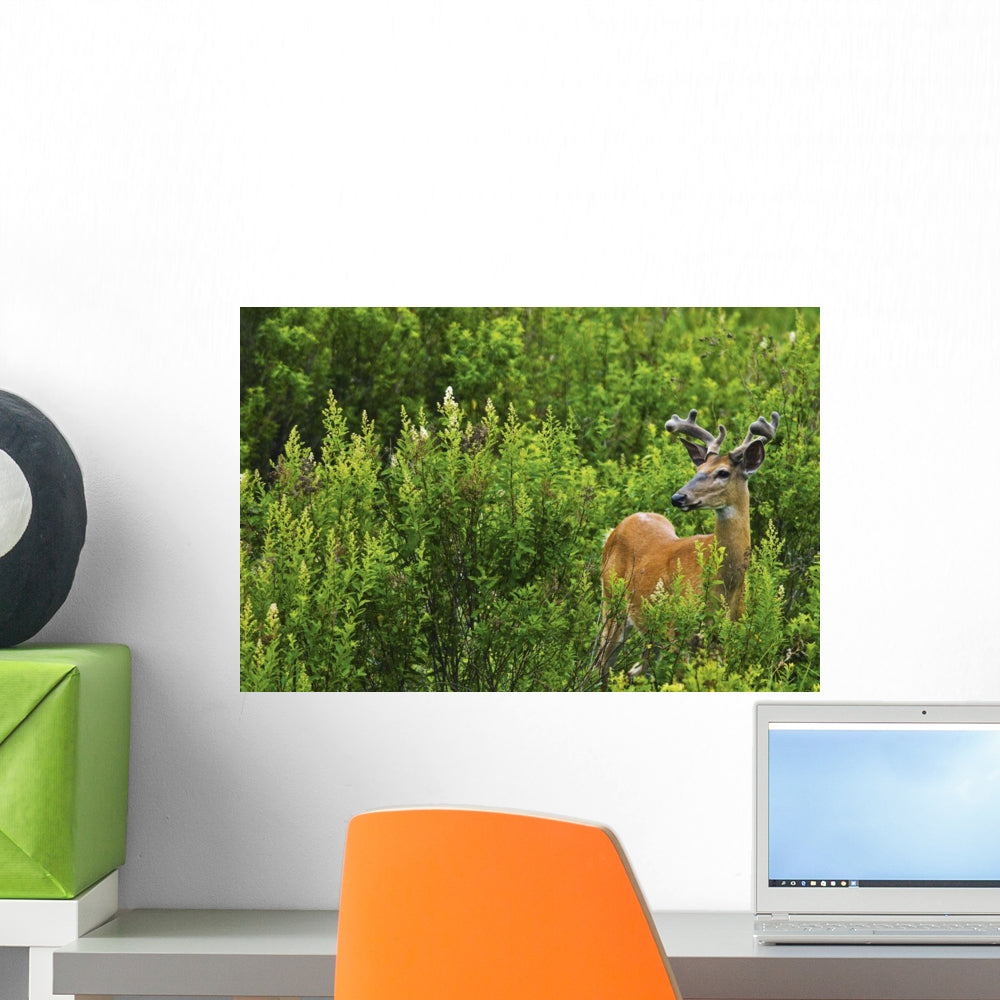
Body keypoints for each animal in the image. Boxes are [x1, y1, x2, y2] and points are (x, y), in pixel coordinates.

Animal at [593, 409, 779, 688]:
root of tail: (615, 529)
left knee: (635, 670)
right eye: (698, 468)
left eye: (723, 472)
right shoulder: (678, 630)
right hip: (611, 602)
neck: (725, 585)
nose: (678, 497)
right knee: (600, 664)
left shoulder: (721, 638)